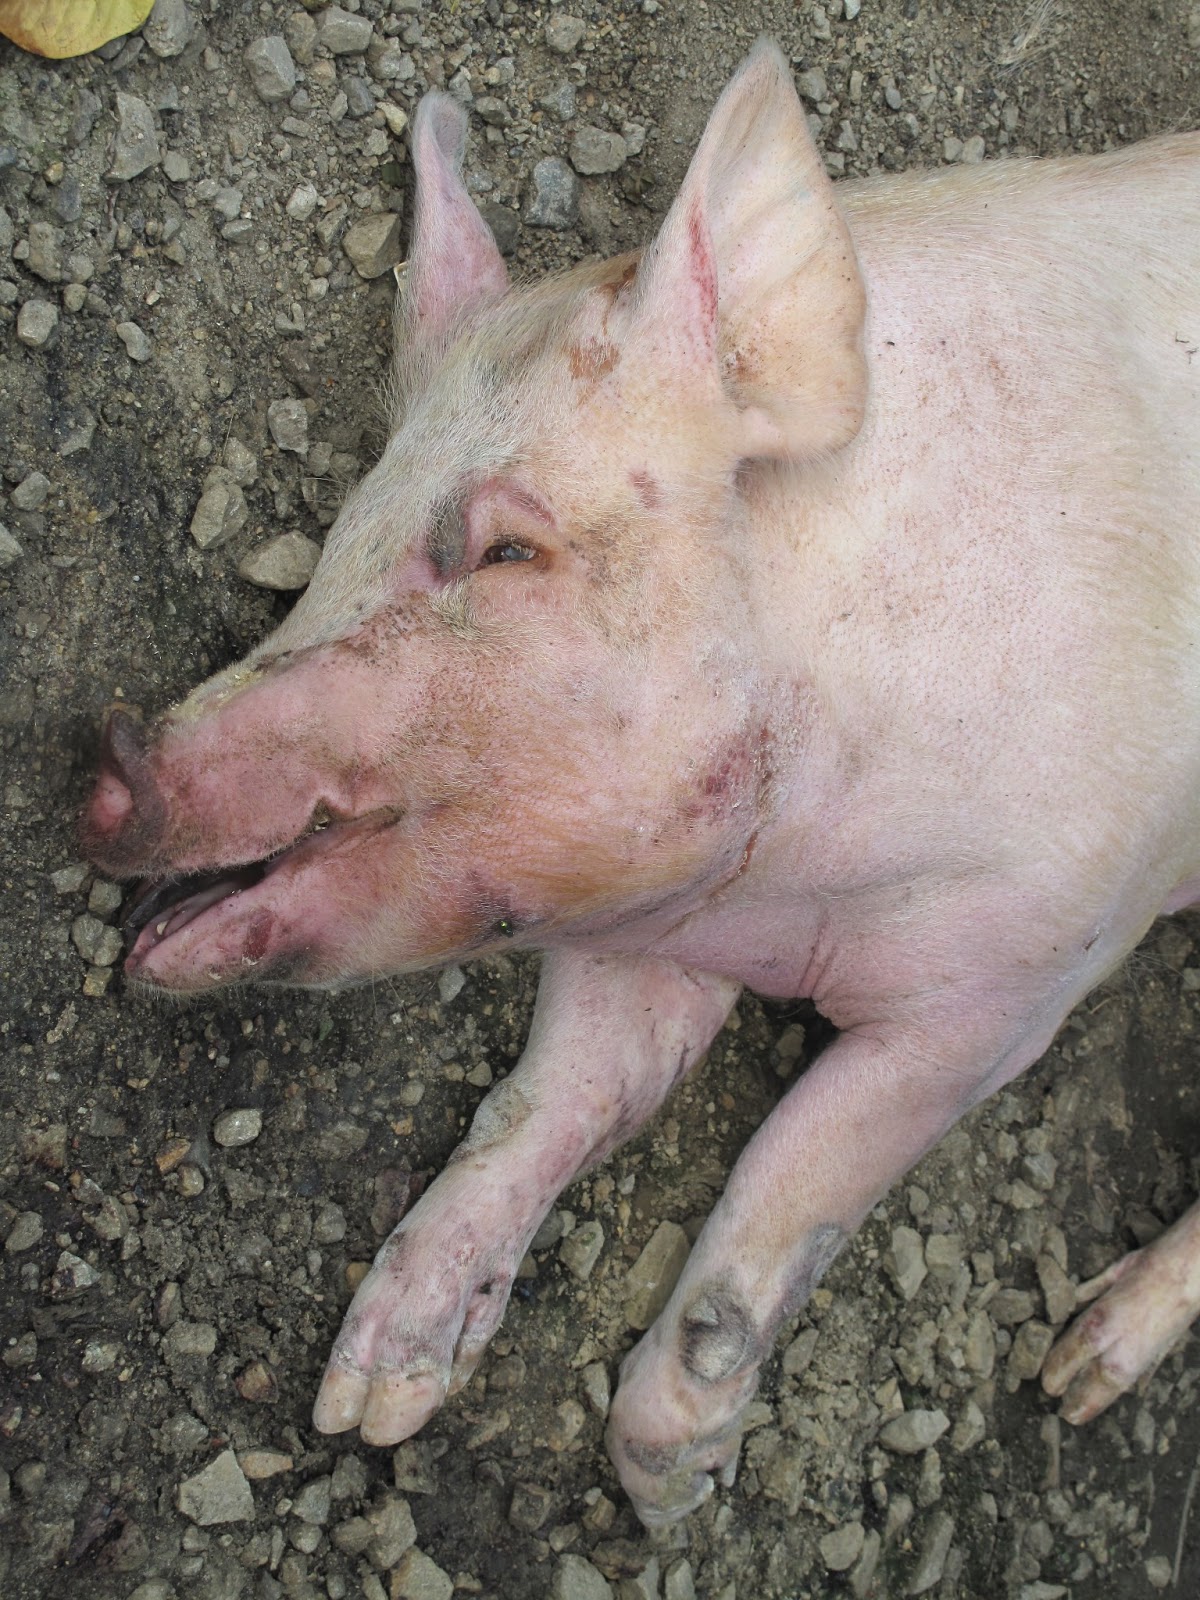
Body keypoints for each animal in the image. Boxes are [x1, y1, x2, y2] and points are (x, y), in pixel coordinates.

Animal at [82, 39, 1200, 1526]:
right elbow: (548, 1098)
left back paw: (1073, 1374)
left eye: (505, 551)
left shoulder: (1016, 977)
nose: (103, 759)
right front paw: (371, 1404)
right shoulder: (646, 921)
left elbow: (779, 1206)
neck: (785, 900)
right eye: (331, 549)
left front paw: (671, 1495)